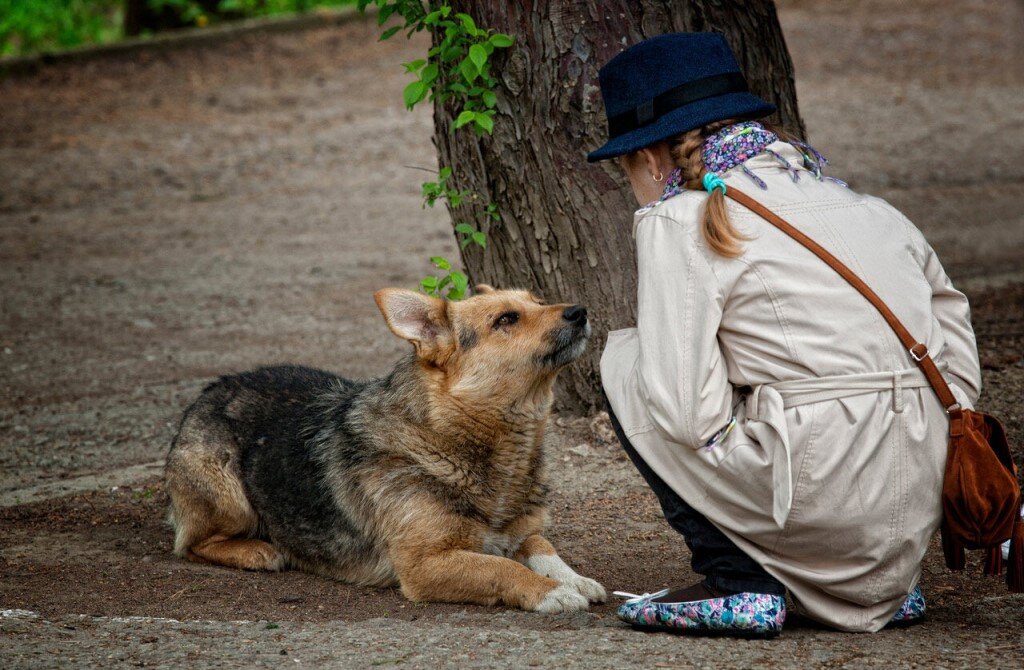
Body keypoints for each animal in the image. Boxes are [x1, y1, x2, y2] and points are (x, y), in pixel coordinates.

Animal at [163, 286, 602, 610]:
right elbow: (502, 569)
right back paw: (256, 551)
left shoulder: (523, 534)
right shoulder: (425, 565)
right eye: (506, 319)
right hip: (228, 498)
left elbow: (543, 546)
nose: (580, 311)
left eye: (538, 302)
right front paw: (550, 591)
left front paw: (575, 579)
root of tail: (216, 385)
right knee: (191, 544)